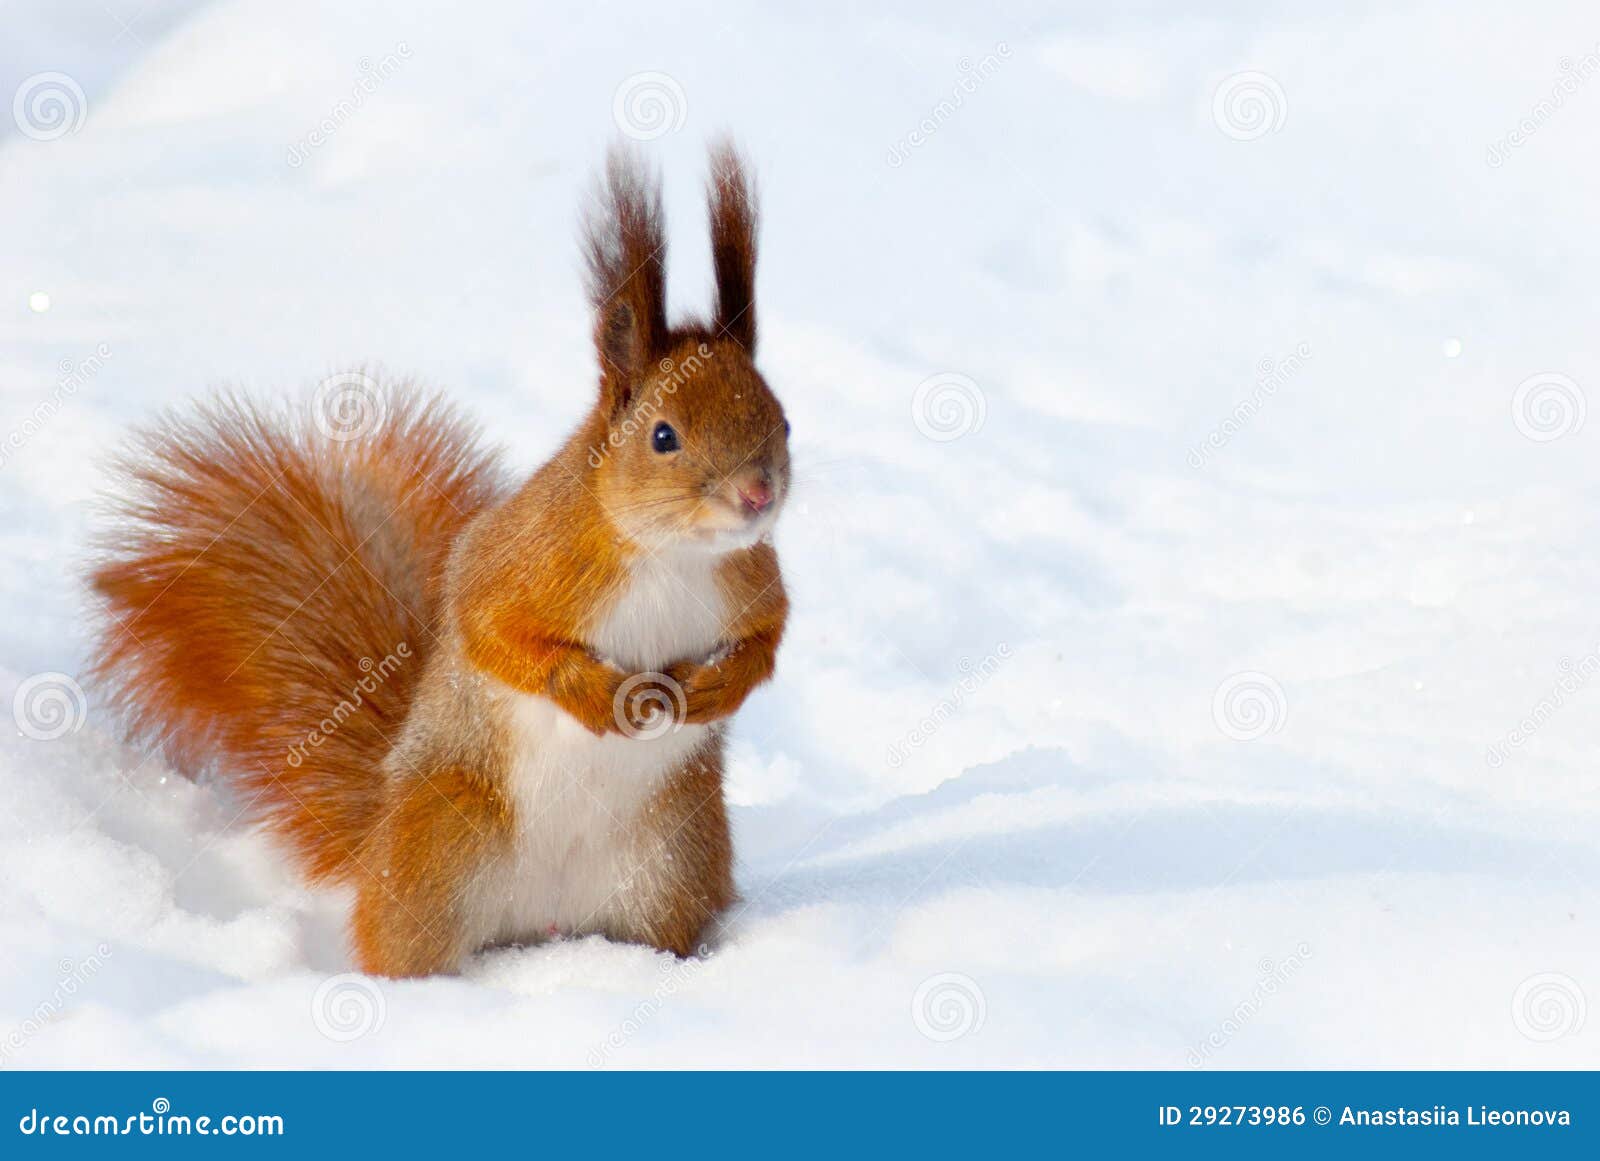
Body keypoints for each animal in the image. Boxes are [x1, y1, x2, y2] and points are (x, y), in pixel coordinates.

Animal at [87, 143, 790, 977]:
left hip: (671, 859)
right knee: (406, 945)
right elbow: (494, 632)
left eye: (782, 417)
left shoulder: (752, 579)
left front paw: (719, 685)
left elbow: (767, 640)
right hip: (443, 842)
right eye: (663, 436)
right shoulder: (523, 561)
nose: (758, 493)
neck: (672, 553)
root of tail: (544, 919)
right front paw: (590, 691)